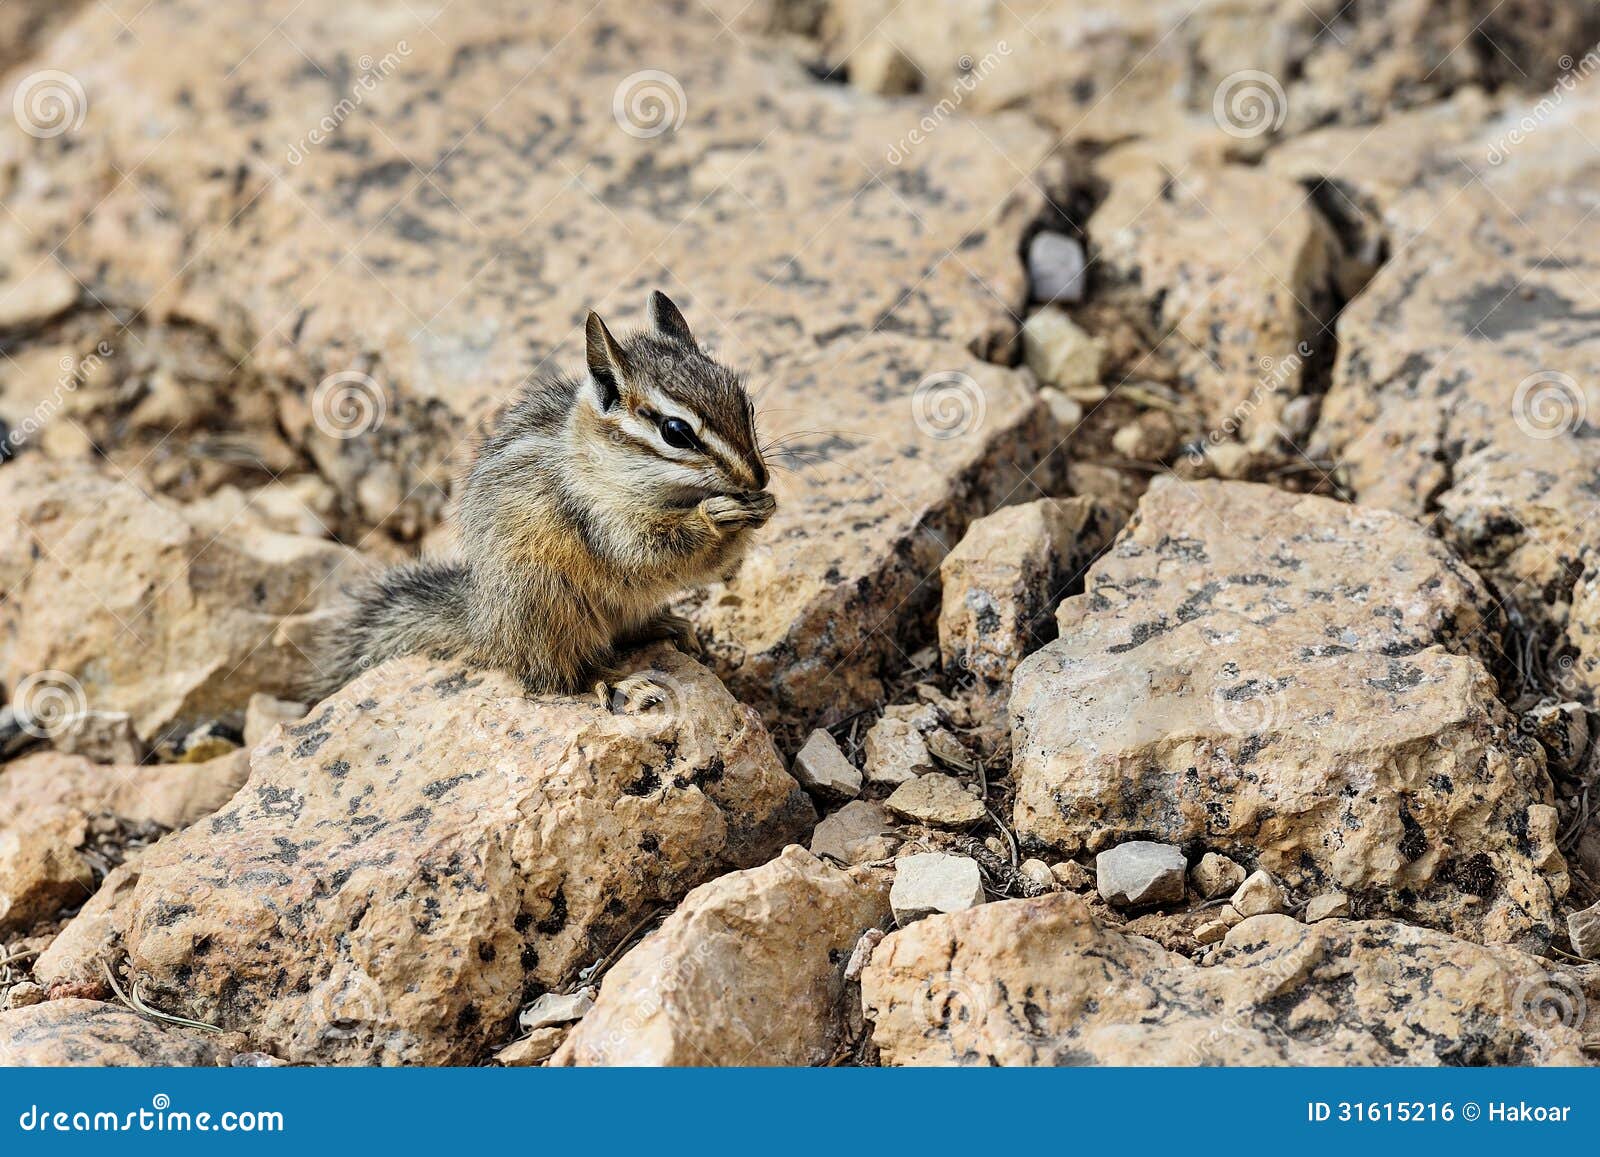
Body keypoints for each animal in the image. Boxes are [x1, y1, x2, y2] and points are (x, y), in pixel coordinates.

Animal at [307, 291, 774, 705]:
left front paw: (762, 507)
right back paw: (618, 680)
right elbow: (648, 549)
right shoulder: (598, 517)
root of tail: (483, 625)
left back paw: (669, 626)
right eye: (676, 432)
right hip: (548, 606)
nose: (759, 477)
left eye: (745, 404)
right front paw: (715, 514)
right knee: (560, 674)